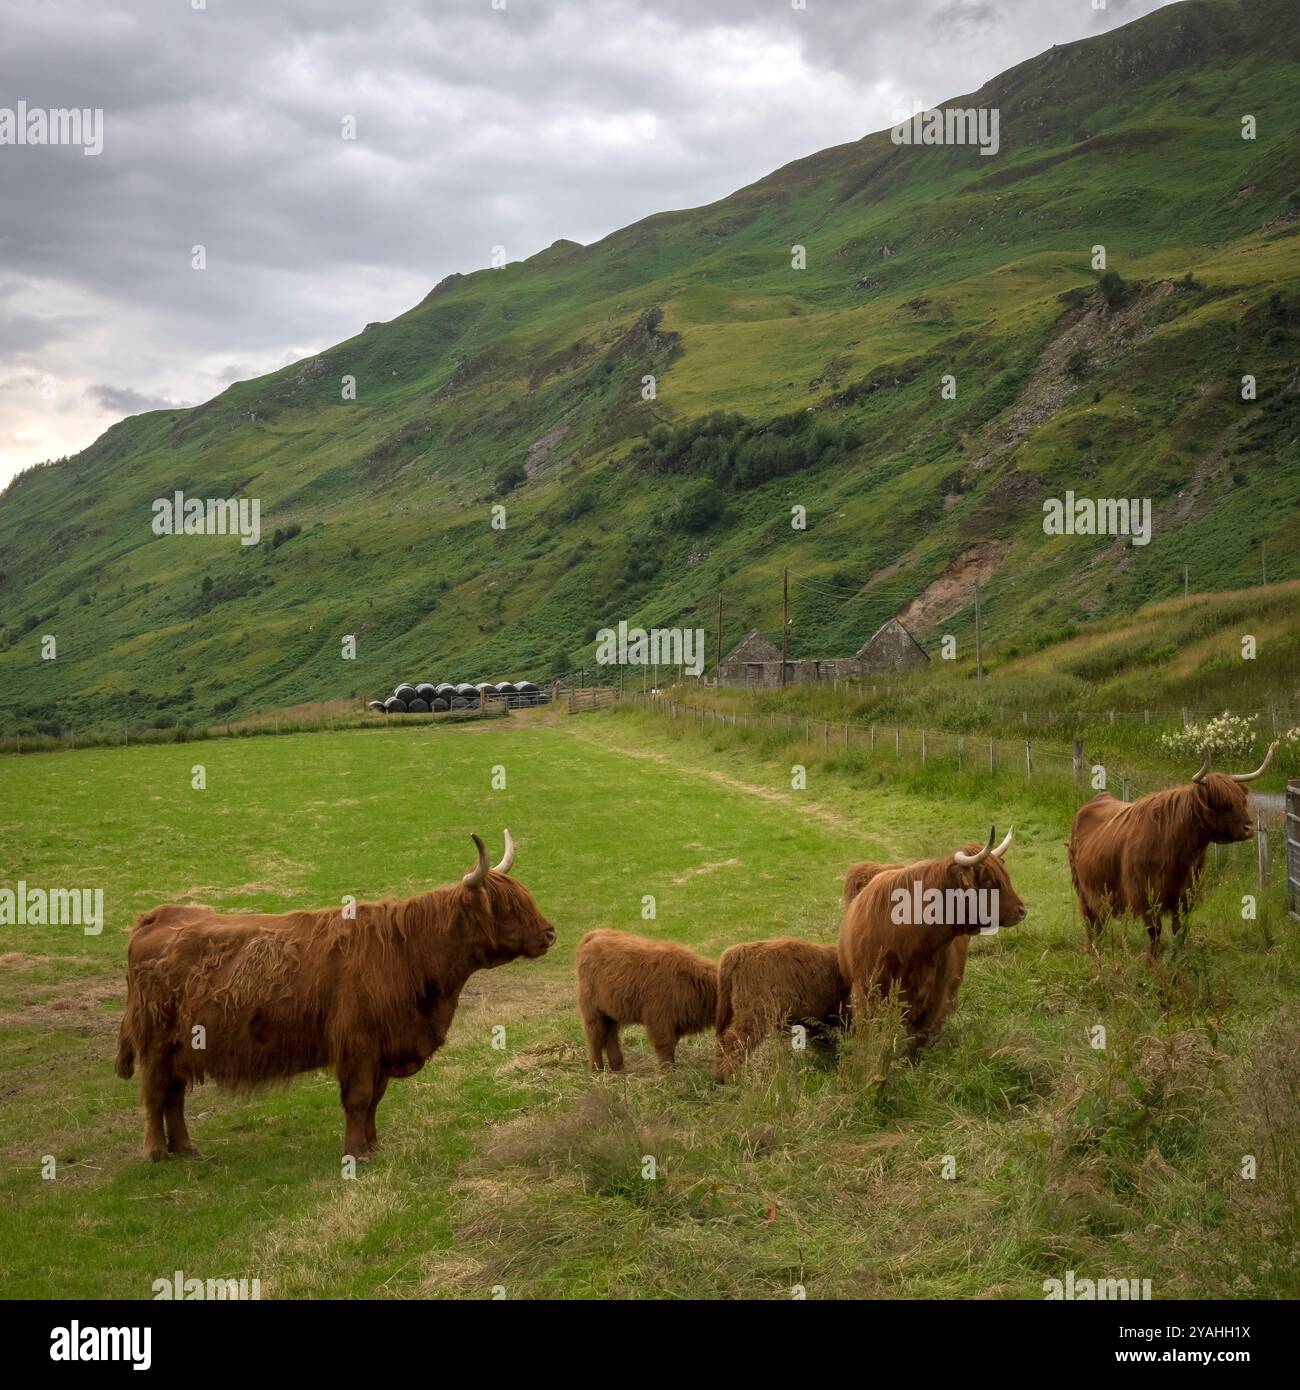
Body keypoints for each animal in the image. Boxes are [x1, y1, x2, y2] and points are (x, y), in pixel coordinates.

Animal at [115, 831, 554, 1162]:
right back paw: (156, 1152)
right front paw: (356, 1153)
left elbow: (375, 1098)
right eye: (507, 906)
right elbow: (358, 1099)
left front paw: (374, 1146)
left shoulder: (383, 1047)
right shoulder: (358, 1043)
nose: (550, 933)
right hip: (156, 1043)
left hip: (180, 1048)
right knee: (155, 1094)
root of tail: (158, 916)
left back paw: (186, 1148)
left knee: (173, 1095)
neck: (409, 953)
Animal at [576, 929, 717, 1072]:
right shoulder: (658, 1018)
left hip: (610, 1009)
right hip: (592, 1009)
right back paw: (596, 1068)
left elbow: (671, 1045)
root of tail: (596, 933)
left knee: (610, 1034)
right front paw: (666, 1072)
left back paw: (617, 1066)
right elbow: (665, 1045)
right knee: (595, 1035)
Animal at [713, 938, 847, 1083]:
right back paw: (729, 1079)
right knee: (734, 1042)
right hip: (754, 1015)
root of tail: (738, 951)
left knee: (723, 1040)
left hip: (732, 1012)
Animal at [1068, 743, 1277, 956]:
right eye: (1222, 803)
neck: (1178, 852)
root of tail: (1098, 798)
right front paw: (1153, 960)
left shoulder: (1185, 897)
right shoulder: (1146, 896)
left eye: (1242, 801)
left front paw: (1178, 957)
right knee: (1091, 921)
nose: (1249, 828)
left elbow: (1180, 930)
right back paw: (1094, 951)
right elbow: (1155, 931)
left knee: (1099, 921)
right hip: (1084, 889)